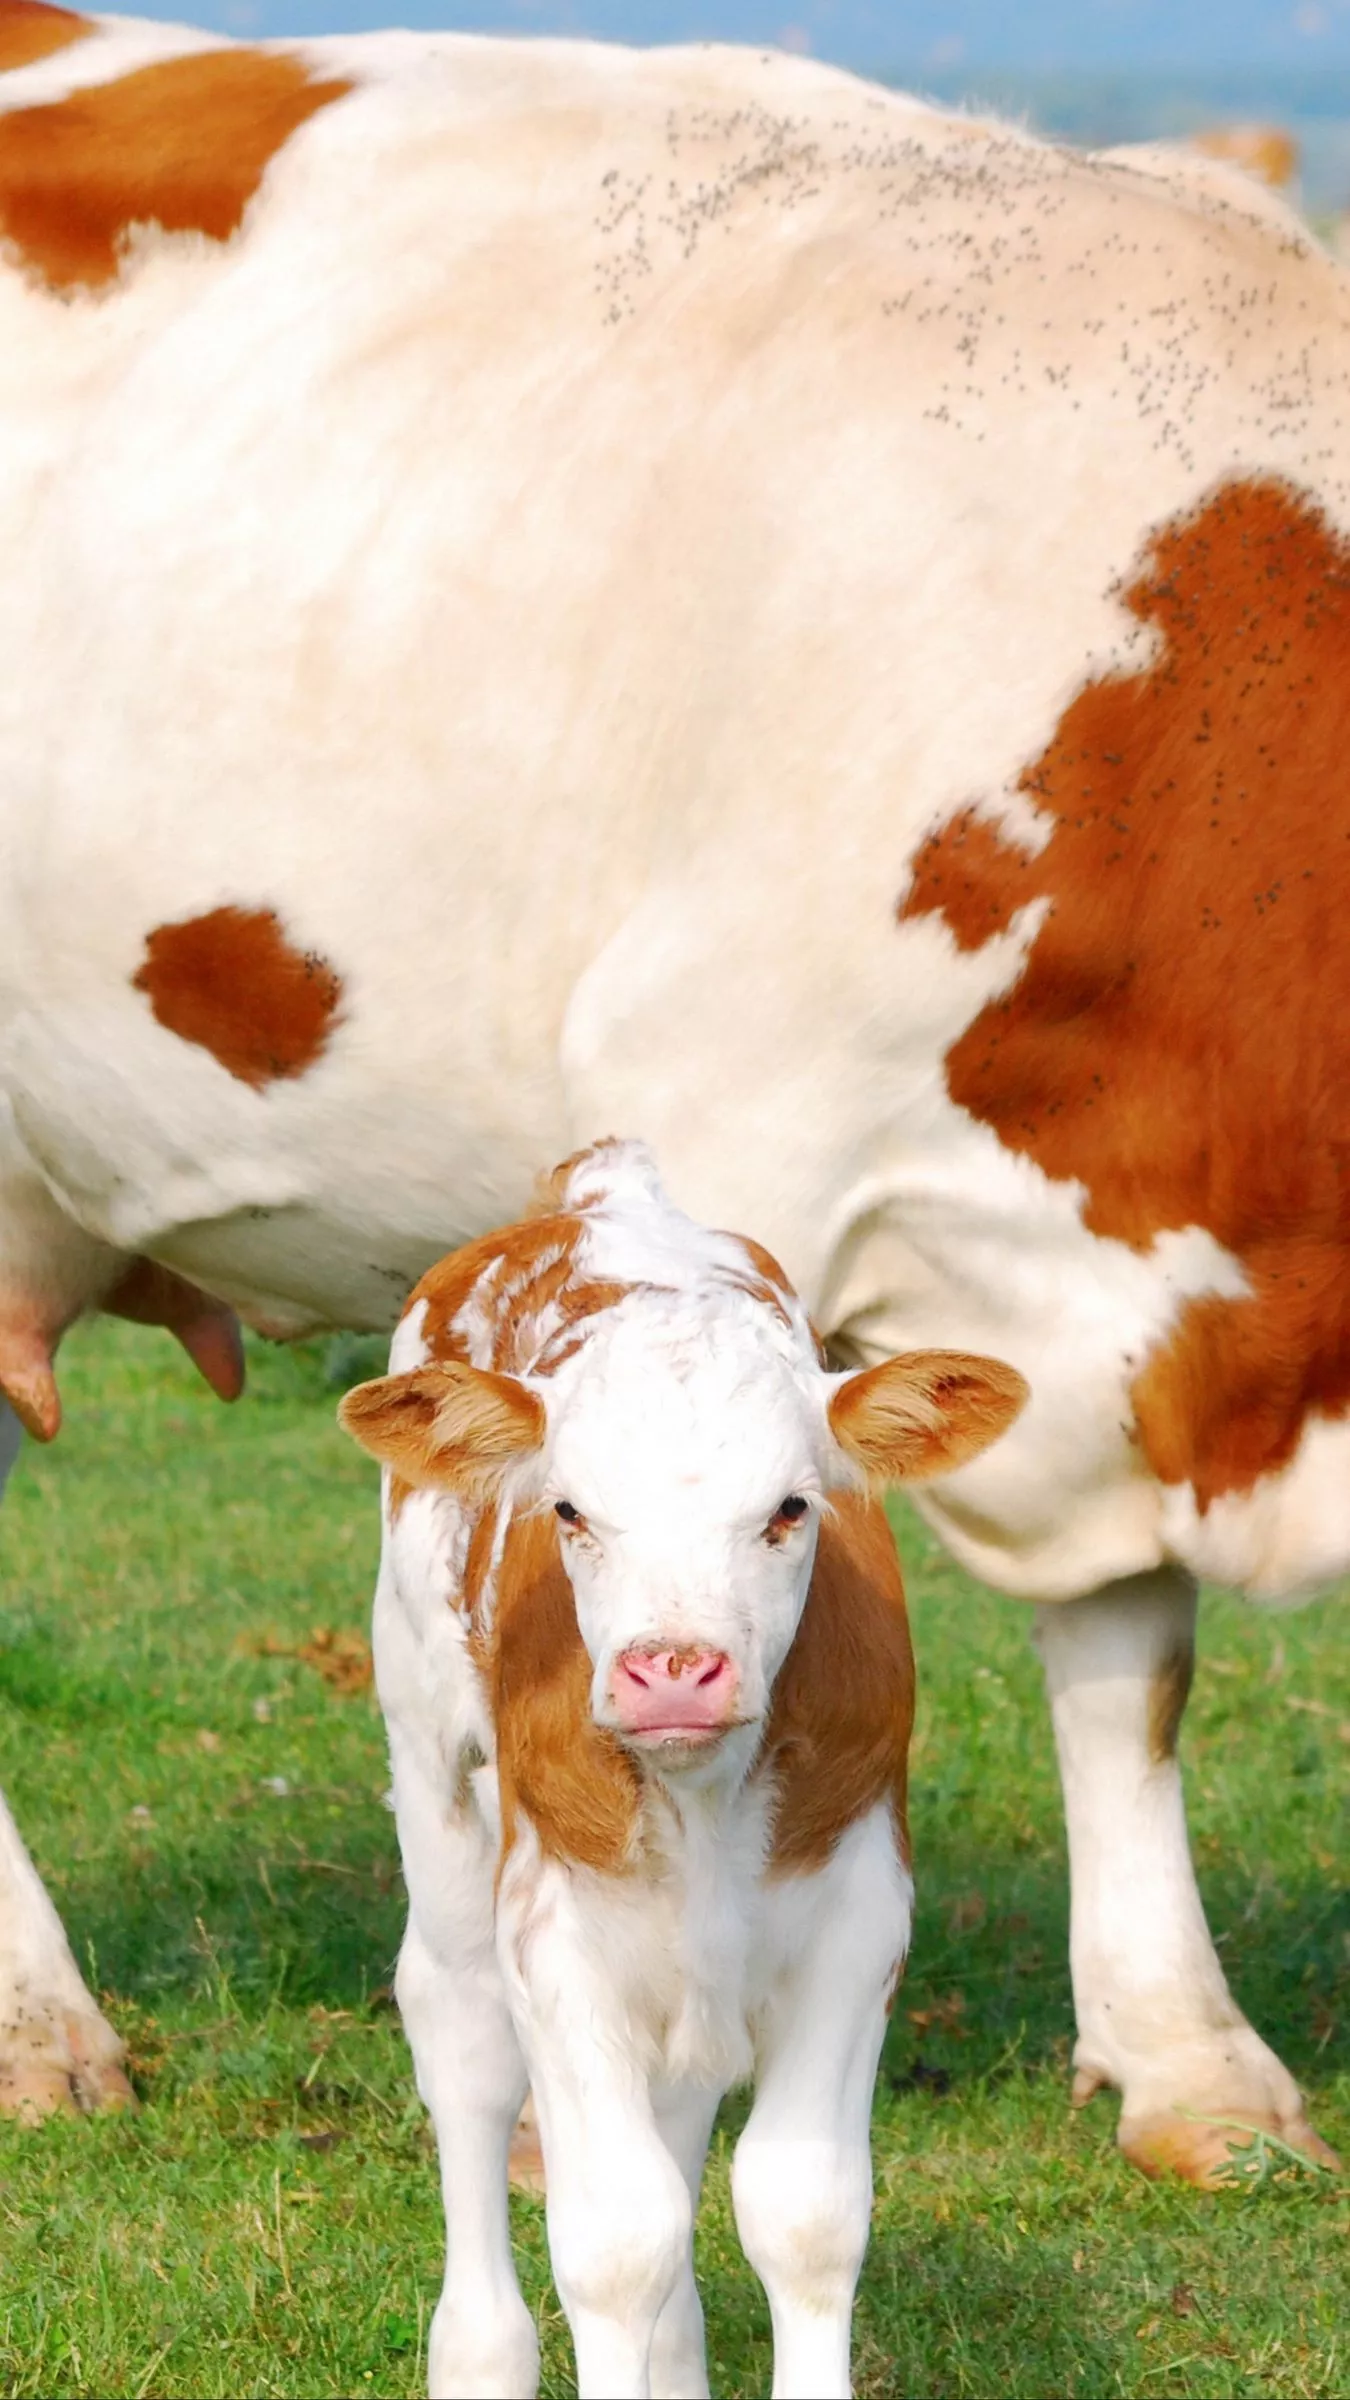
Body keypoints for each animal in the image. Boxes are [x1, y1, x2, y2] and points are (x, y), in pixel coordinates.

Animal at [336, 1140, 1025, 2400]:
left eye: (791, 1508)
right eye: (570, 1510)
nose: (673, 1671)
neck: (704, 1799)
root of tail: (601, 1186)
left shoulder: (860, 1912)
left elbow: (803, 2211)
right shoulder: (553, 1928)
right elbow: (617, 2240)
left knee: (685, 2096)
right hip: (431, 1768)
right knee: (463, 2046)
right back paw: (479, 2355)